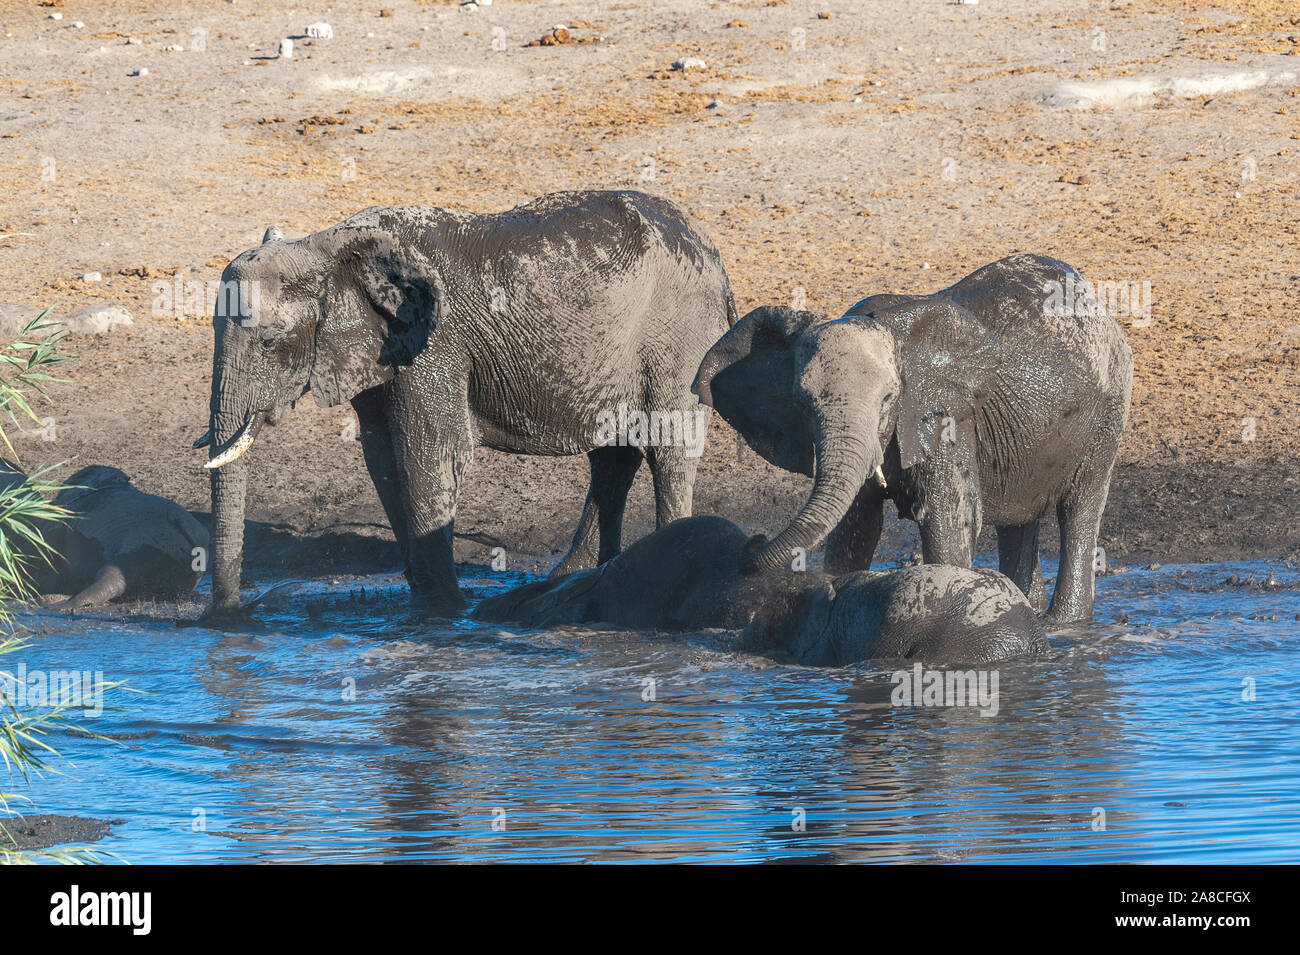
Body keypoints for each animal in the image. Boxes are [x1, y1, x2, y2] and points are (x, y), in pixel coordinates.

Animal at [197, 190, 735, 616]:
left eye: (270, 342)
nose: (227, 617)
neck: (326, 248)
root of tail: (711, 250)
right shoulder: (381, 350)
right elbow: (384, 460)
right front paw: (426, 603)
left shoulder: (434, 343)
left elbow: (431, 455)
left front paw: (443, 614)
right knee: (613, 457)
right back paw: (571, 579)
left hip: (678, 334)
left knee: (668, 453)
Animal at [692, 253, 1133, 624]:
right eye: (802, 403)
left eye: (889, 398)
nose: (752, 542)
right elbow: (855, 526)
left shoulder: (945, 415)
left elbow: (948, 521)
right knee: (1018, 522)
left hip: (1109, 410)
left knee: (1080, 508)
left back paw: (1064, 624)